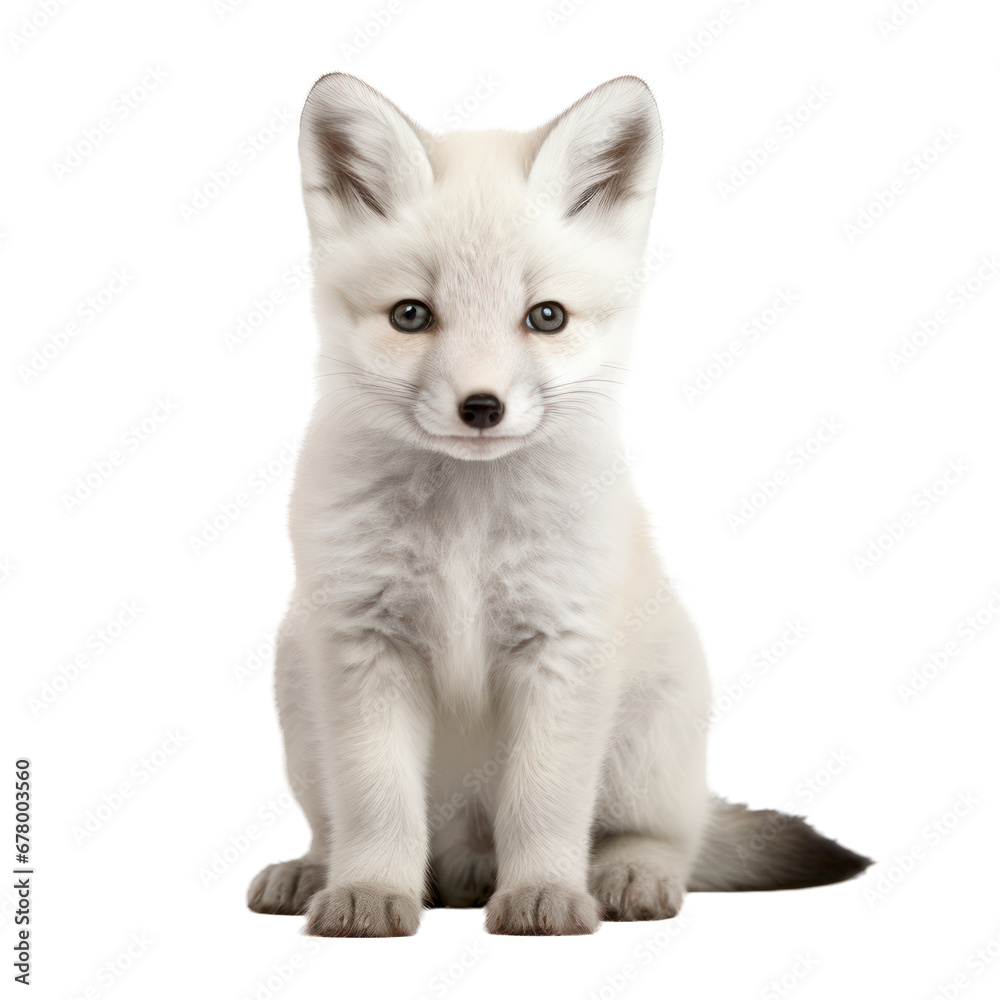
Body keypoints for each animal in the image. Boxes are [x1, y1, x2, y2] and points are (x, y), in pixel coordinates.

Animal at [246, 73, 871, 937]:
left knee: (665, 838)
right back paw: (315, 872)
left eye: (546, 317)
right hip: (296, 683)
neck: (467, 527)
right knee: (335, 824)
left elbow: (544, 803)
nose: (482, 407)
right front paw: (369, 893)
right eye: (411, 314)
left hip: (649, 743)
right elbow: (376, 804)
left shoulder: (561, 647)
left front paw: (544, 894)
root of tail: (462, 864)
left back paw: (625, 877)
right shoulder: (364, 646)